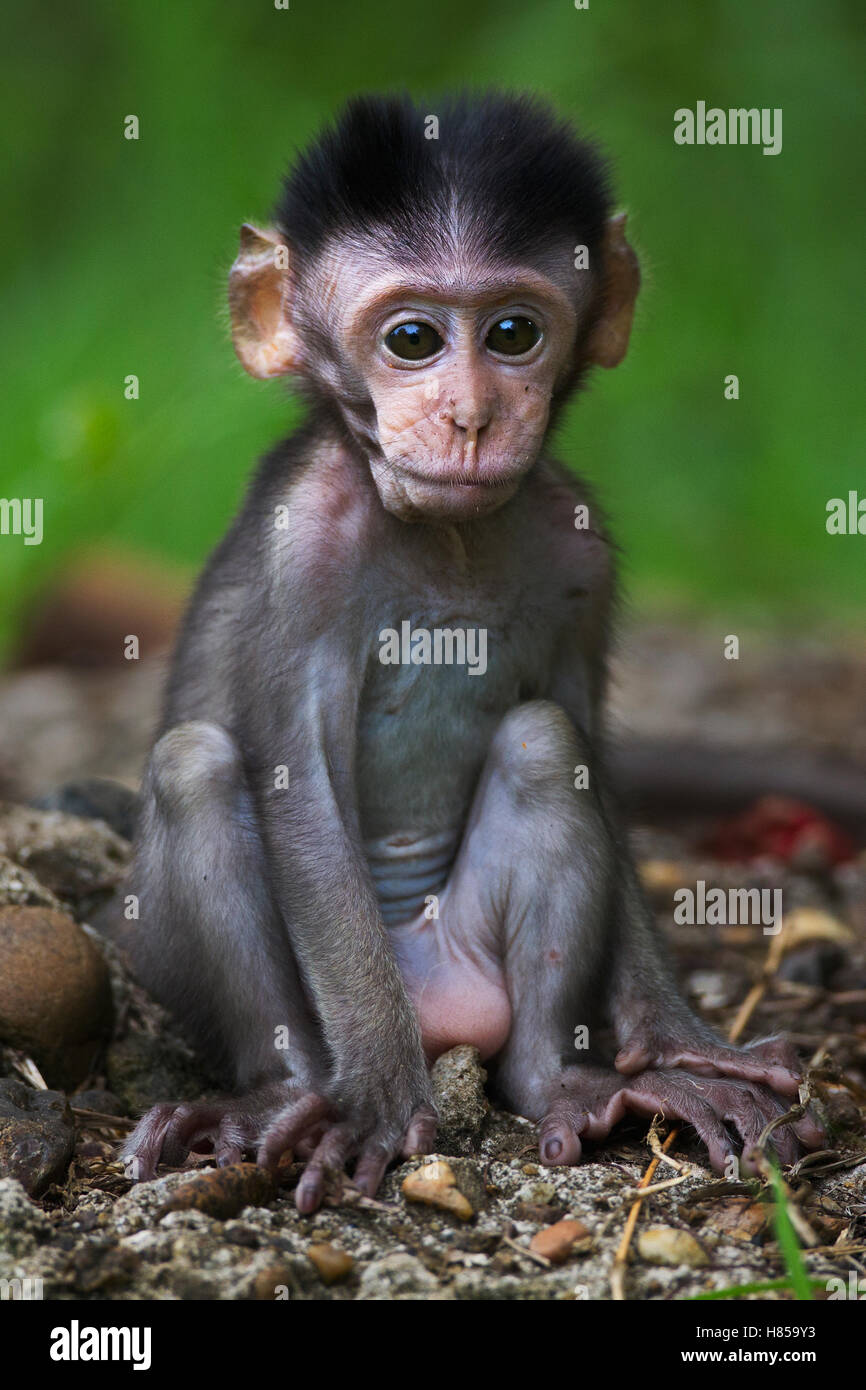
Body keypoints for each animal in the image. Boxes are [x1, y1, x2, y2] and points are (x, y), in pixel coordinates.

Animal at [120, 93, 823, 1212]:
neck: (444, 536)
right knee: (193, 765)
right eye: (411, 338)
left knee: (542, 745)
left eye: (512, 333)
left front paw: (676, 1037)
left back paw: (561, 1081)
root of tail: (439, 1009)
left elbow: (585, 744)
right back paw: (275, 1095)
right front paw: (372, 1096)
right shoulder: (304, 546)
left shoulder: (582, 550)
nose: (470, 415)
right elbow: (298, 784)